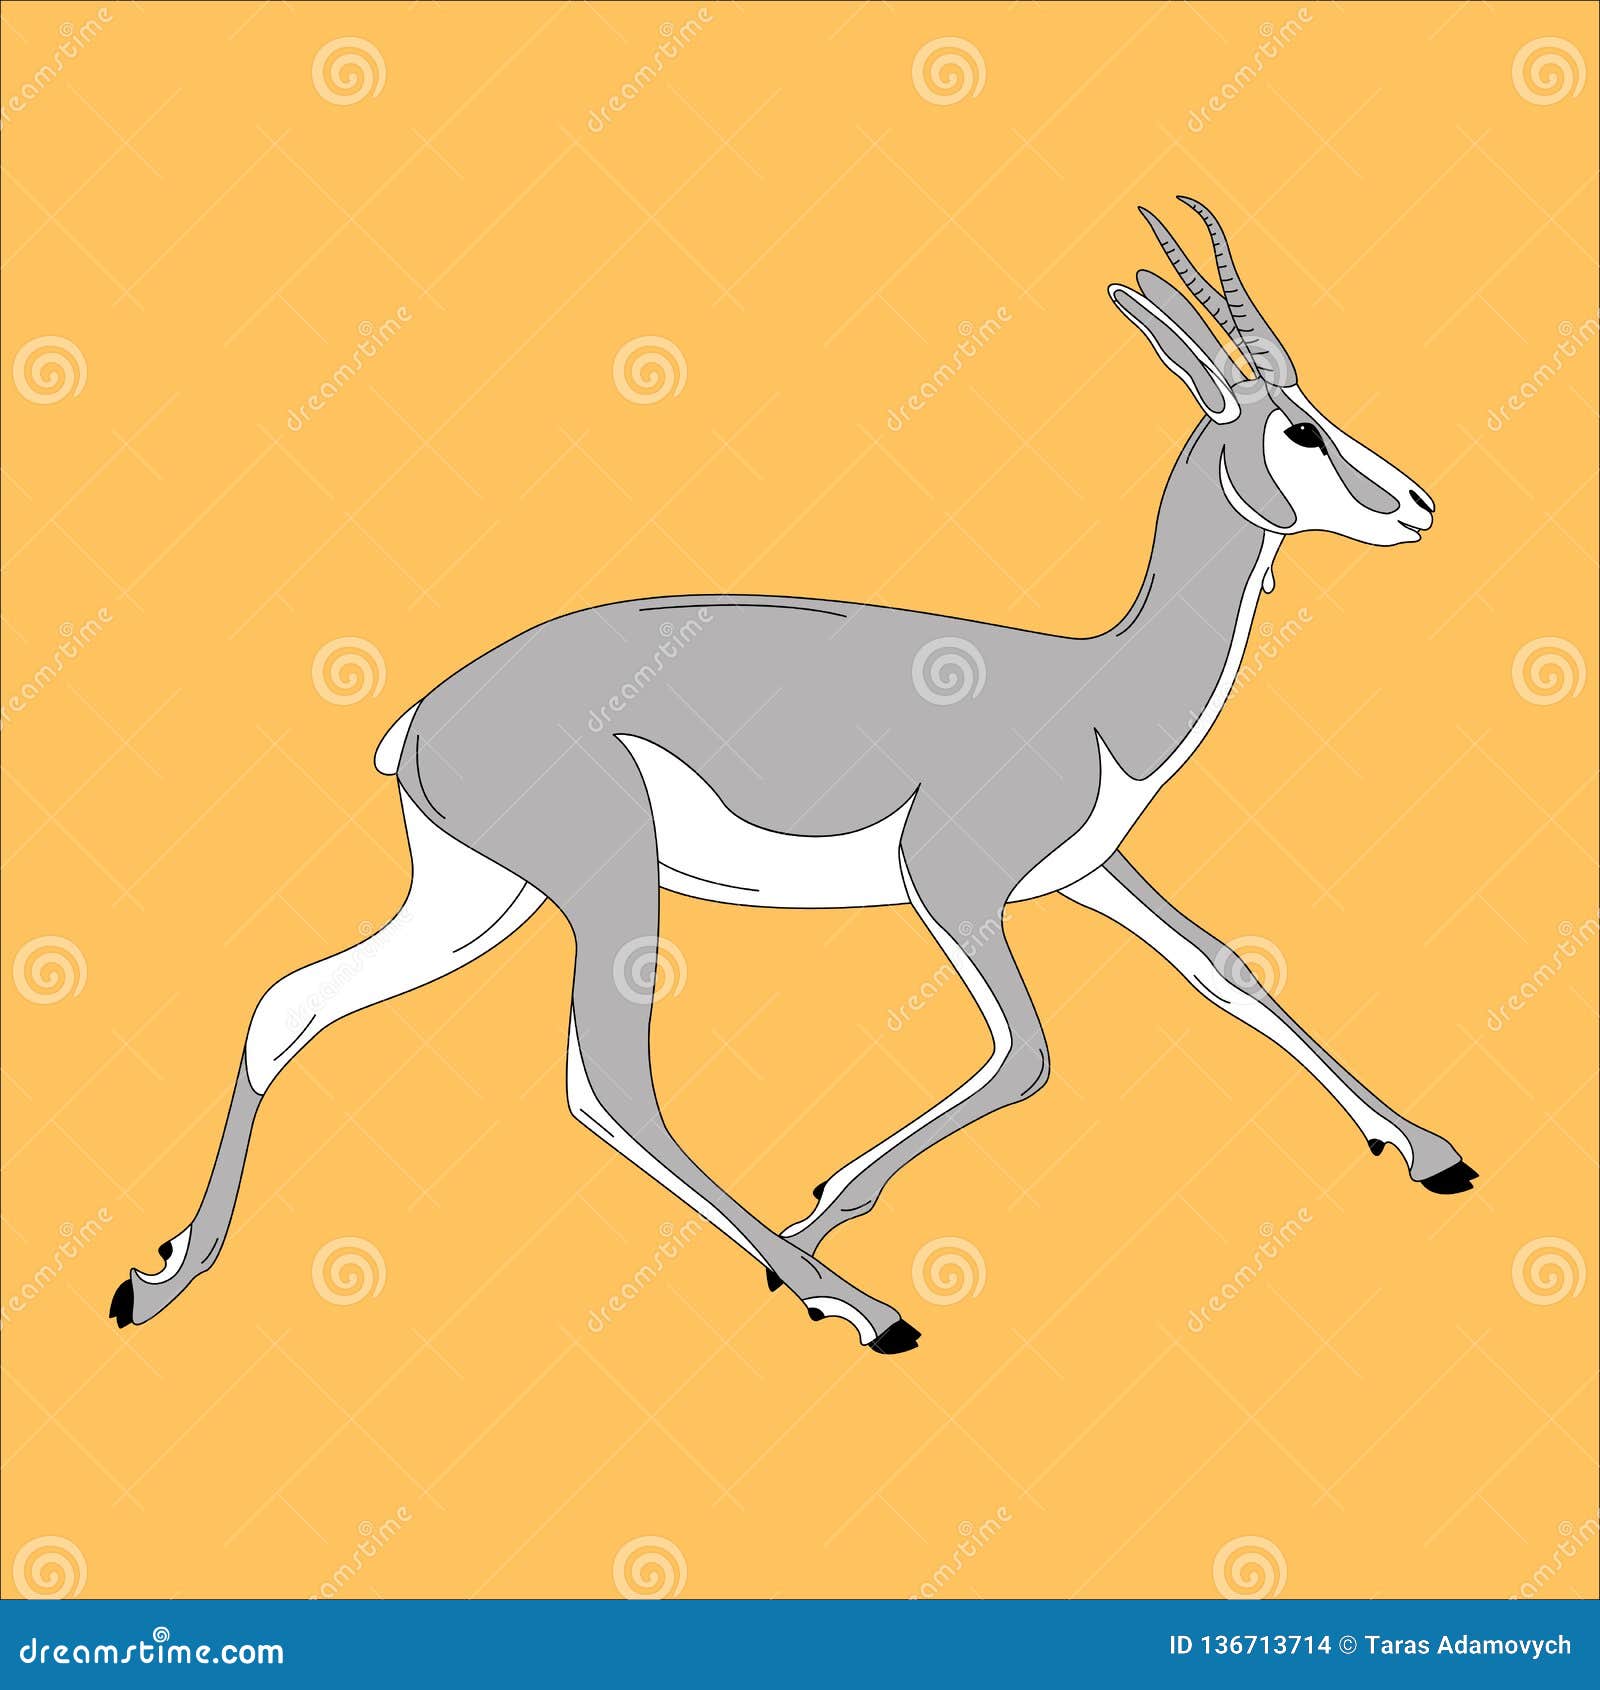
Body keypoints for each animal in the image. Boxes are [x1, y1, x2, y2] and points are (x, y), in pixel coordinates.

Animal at [112, 200, 1476, 1353]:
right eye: (1298, 428)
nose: (1417, 504)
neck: (1097, 691)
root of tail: (420, 718)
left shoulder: (1090, 872)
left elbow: (1228, 969)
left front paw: (1428, 1149)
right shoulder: (952, 884)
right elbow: (1029, 1055)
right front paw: (821, 1208)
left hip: (474, 898)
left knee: (290, 1004)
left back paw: (160, 1276)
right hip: (604, 885)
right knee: (608, 1083)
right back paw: (852, 1305)